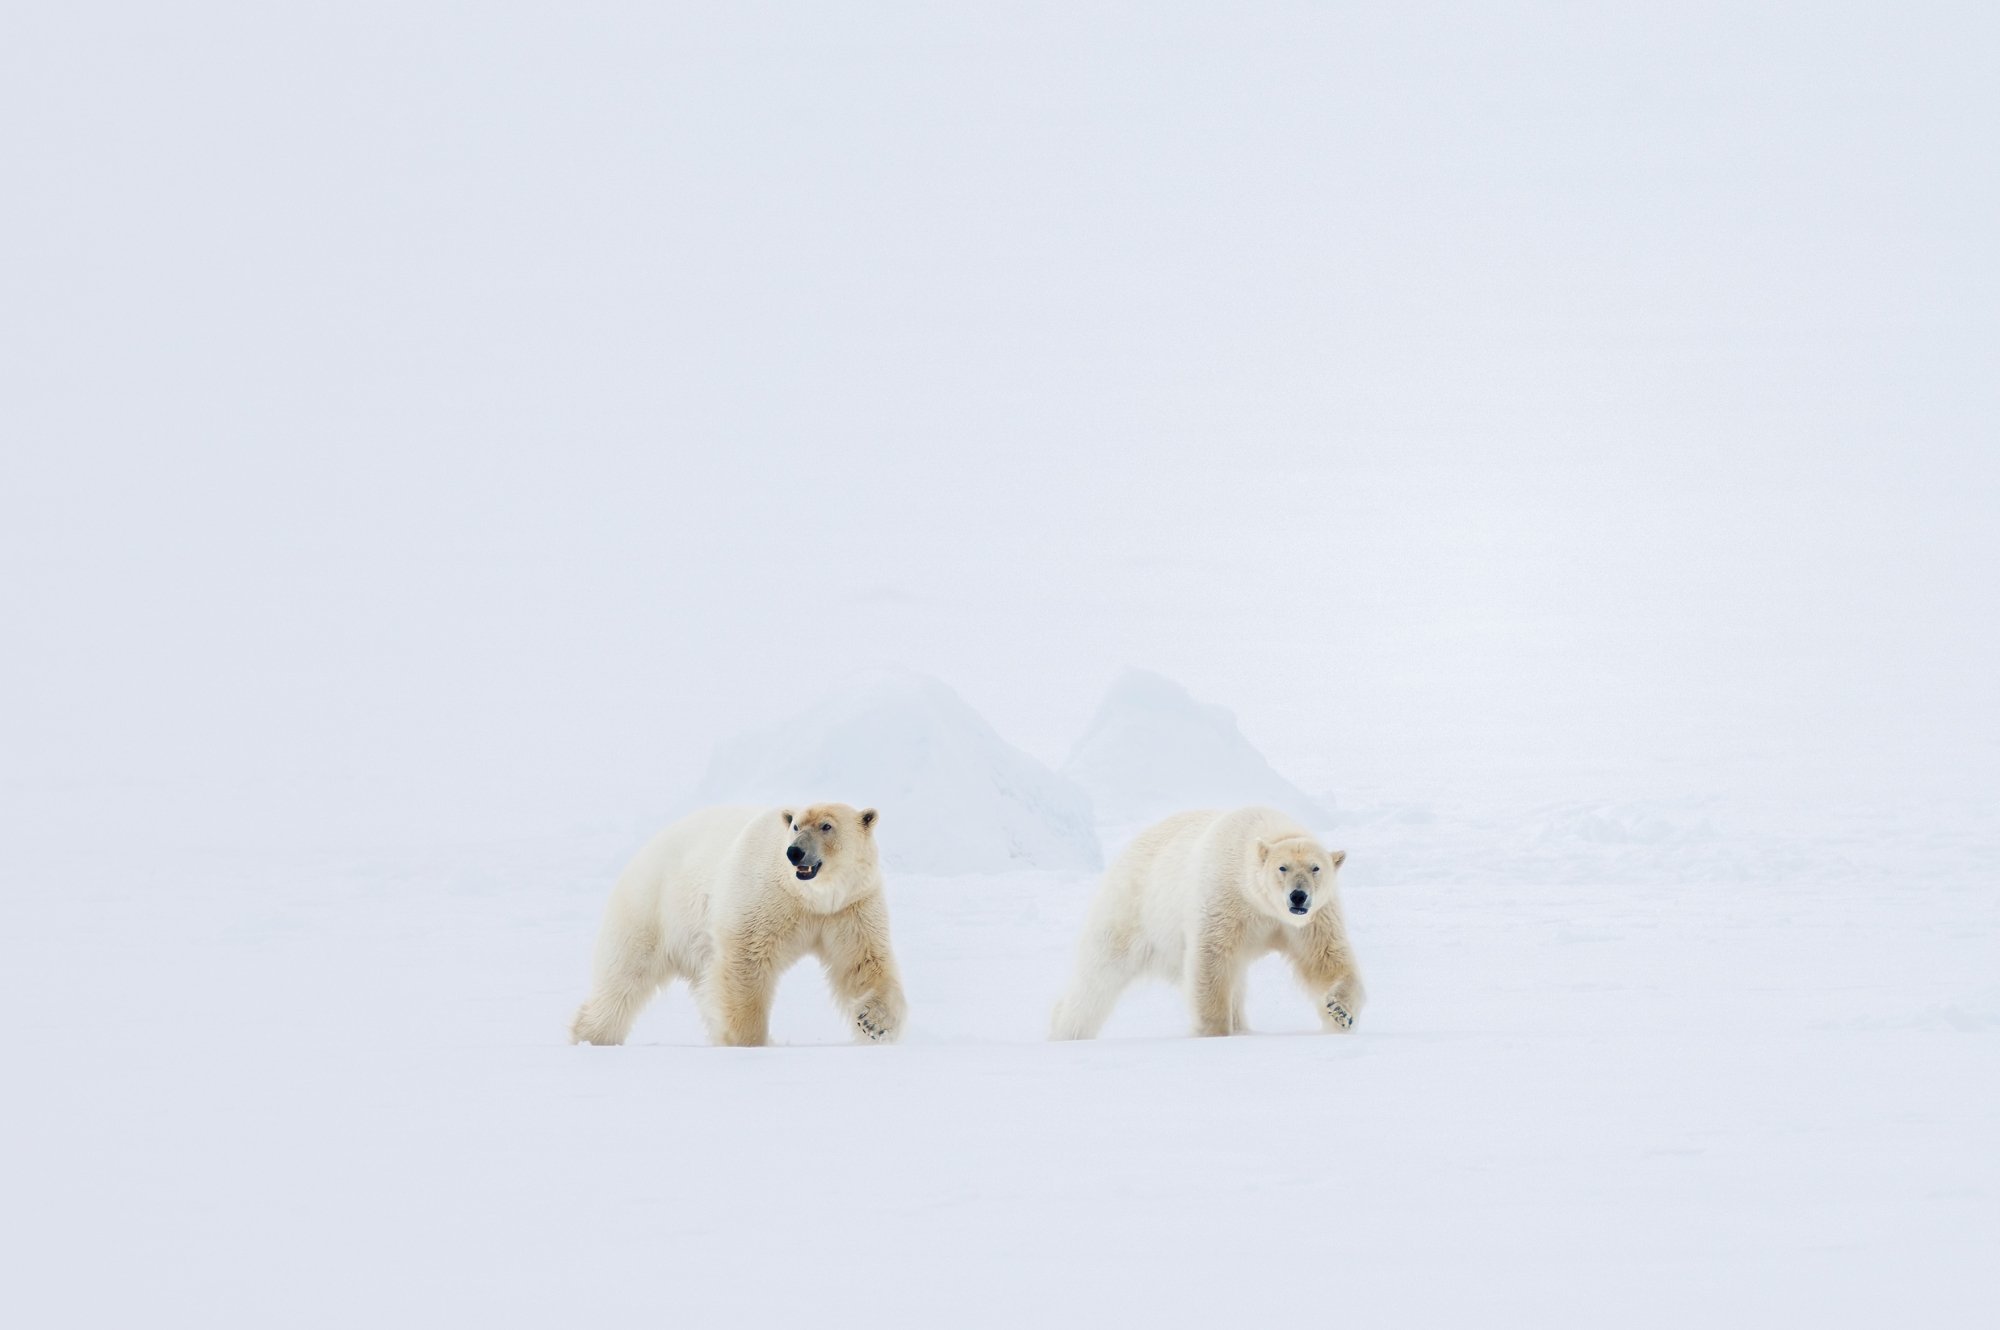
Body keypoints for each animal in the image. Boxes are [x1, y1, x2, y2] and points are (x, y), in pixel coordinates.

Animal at [568, 802, 906, 1047]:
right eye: (796, 825)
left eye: (827, 826)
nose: (795, 851)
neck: (811, 898)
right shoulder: (765, 897)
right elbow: (747, 962)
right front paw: (748, 1042)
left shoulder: (850, 907)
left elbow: (863, 961)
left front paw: (874, 1023)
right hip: (651, 908)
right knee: (624, 977)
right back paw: (589, 1035)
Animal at [1050, 806, 1364, 1039]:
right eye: (1282, 867)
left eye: (1316, 868)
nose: (1298, 896)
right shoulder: (1224, 897)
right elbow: (1212, 958)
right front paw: (1213, 1032)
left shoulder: (1313, 918)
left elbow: (1325, 958)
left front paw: (1340, 1012)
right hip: (1131, 909)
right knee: (1097, 977)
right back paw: (1065, 1030)